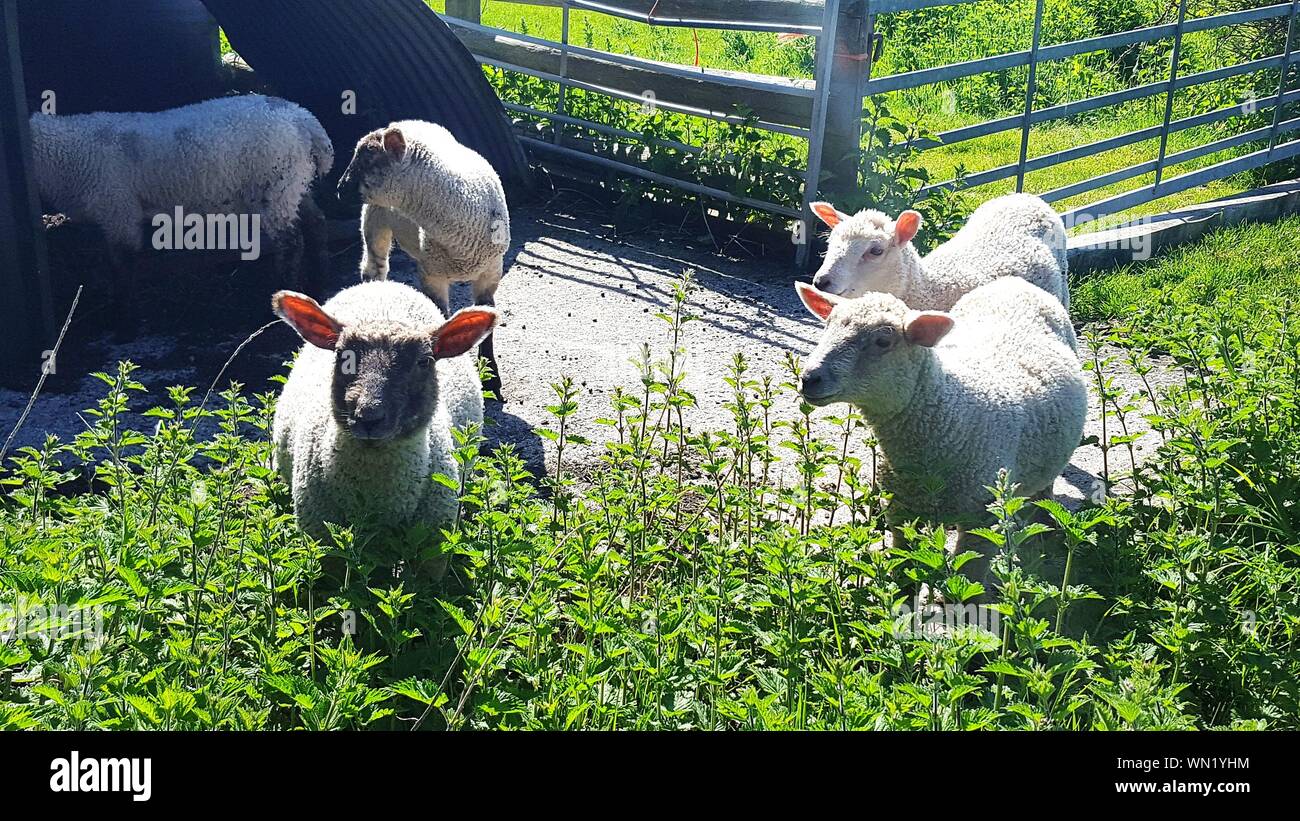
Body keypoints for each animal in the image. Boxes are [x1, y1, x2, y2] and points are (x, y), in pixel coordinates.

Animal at [28, 93, 334, 335]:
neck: (69, 154)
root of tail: (303, 118)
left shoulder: (119, 210)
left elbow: (121, 267)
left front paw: (123, 324)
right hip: (295, 184)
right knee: (316, 224)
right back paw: (317, 284)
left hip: (277, 185)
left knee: (290, 243)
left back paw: (279, 303)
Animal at [271, 280, 498, 577]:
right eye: (341, 355)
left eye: (424, 361)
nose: (369, 416)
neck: (378, 502)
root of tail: (381, 283)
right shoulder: (323, 543)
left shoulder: (434, 544)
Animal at [336, 120, 510, 396]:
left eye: (367, 159)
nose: (339, 190)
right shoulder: (432, 274)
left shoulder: (490, 273)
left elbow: (488, 321)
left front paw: (491, 378)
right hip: (375, 217)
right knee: (375, 267)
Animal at [795, 276, 1087, 593]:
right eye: (827, 326)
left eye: (883, 341)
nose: (809, 378)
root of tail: (1014, 282)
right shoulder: (901, 511)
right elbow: (904, 572)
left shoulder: (982, 519)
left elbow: (969, 581)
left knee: (1044, 489)